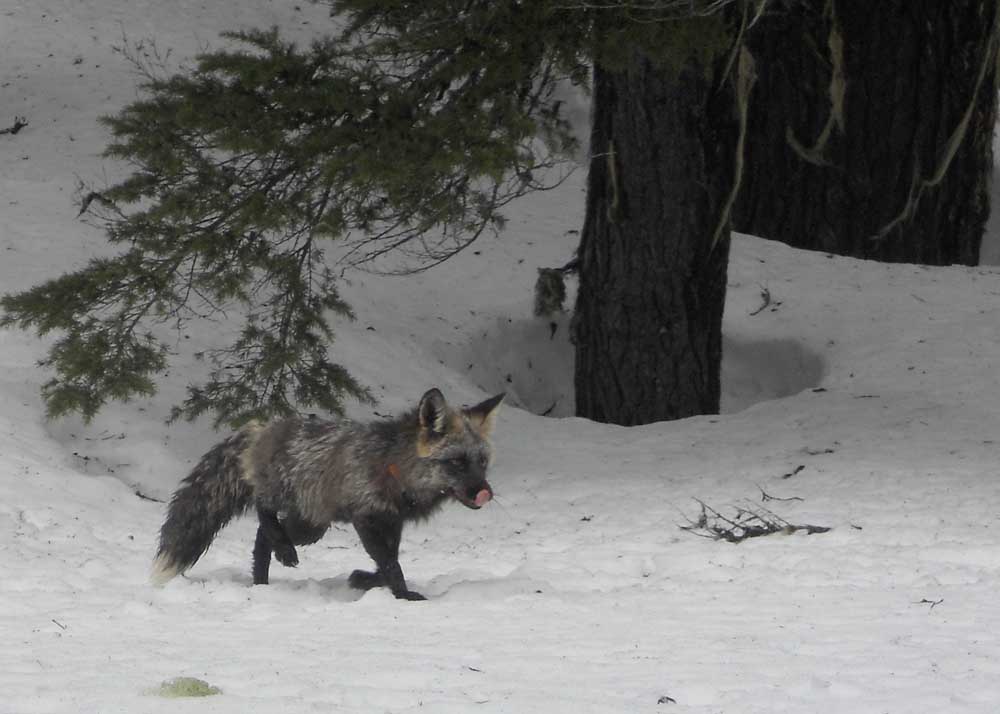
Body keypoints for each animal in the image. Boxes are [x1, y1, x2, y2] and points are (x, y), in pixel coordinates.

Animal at [151, 388, 504, 600]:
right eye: (457, 462)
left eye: (482, 462)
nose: (485, 492)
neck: (395, 469)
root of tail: (262, 425)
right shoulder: (367, 517)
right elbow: (391, 564)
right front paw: (403, 595)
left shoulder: (393, 522)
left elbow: (386, 563)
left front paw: (363, 579)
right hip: (293, 506)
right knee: (263, 512)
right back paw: (281, 552)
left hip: (311, 525)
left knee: (261, 539)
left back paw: (262, 581)